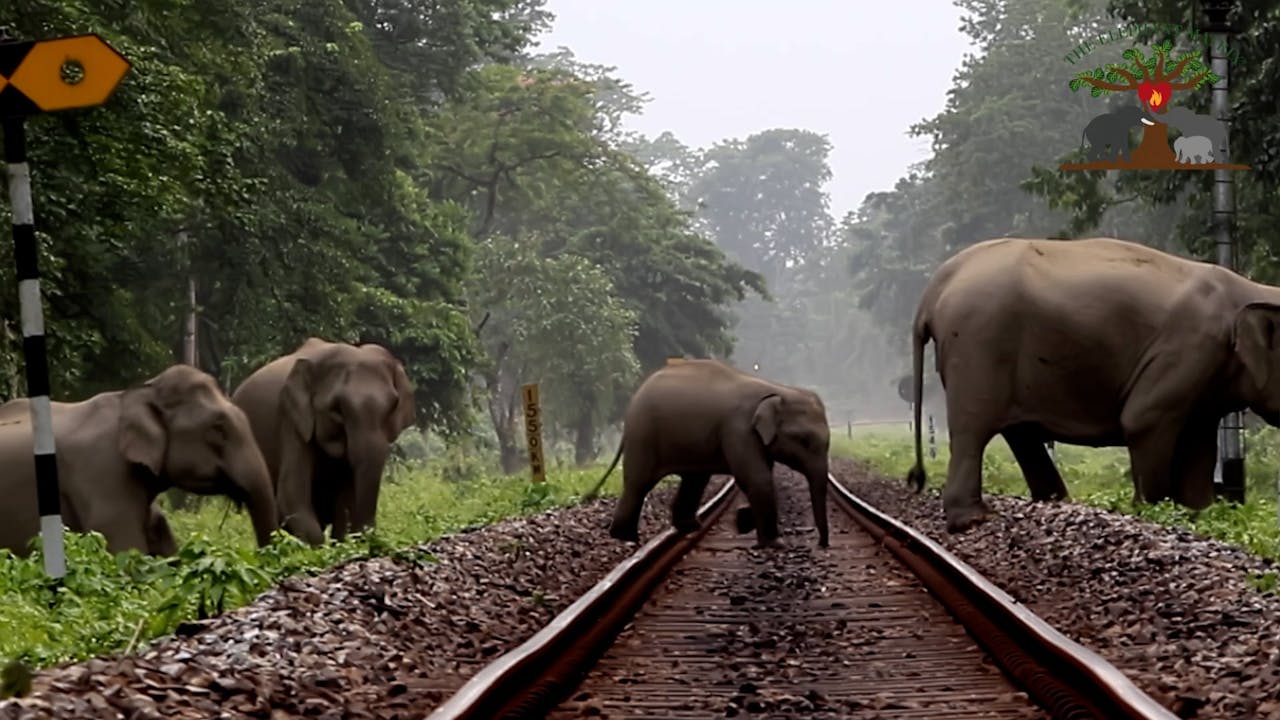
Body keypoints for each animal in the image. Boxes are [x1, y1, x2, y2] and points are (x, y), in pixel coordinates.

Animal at [231, 338, 416, 545]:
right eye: (337, 409)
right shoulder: (291, 419)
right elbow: (291, 495)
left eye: (393, 405)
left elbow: (345, 500)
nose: (366, 536)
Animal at [584, 359, 830, 548]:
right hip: (643, 434)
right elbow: (756, 478)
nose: (822, 544)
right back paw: (626, 538)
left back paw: (689, 526)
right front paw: (774, 543)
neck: (777, 390)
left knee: (694, 480)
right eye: (804, 440)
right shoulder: (738, 430)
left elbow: (759, 477)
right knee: (638, 483)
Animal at [905, 236, 1280, 533]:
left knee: (1019, 433)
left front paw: (1199, 514)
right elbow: (1142, 420)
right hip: (977, 345)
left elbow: (1199, 440)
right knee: (973, 430)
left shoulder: (1207, 378)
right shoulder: (1190, 348)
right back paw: (973, 520)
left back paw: (1055, 503)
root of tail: (935, 286)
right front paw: (1150, 512)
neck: (1251, 289)